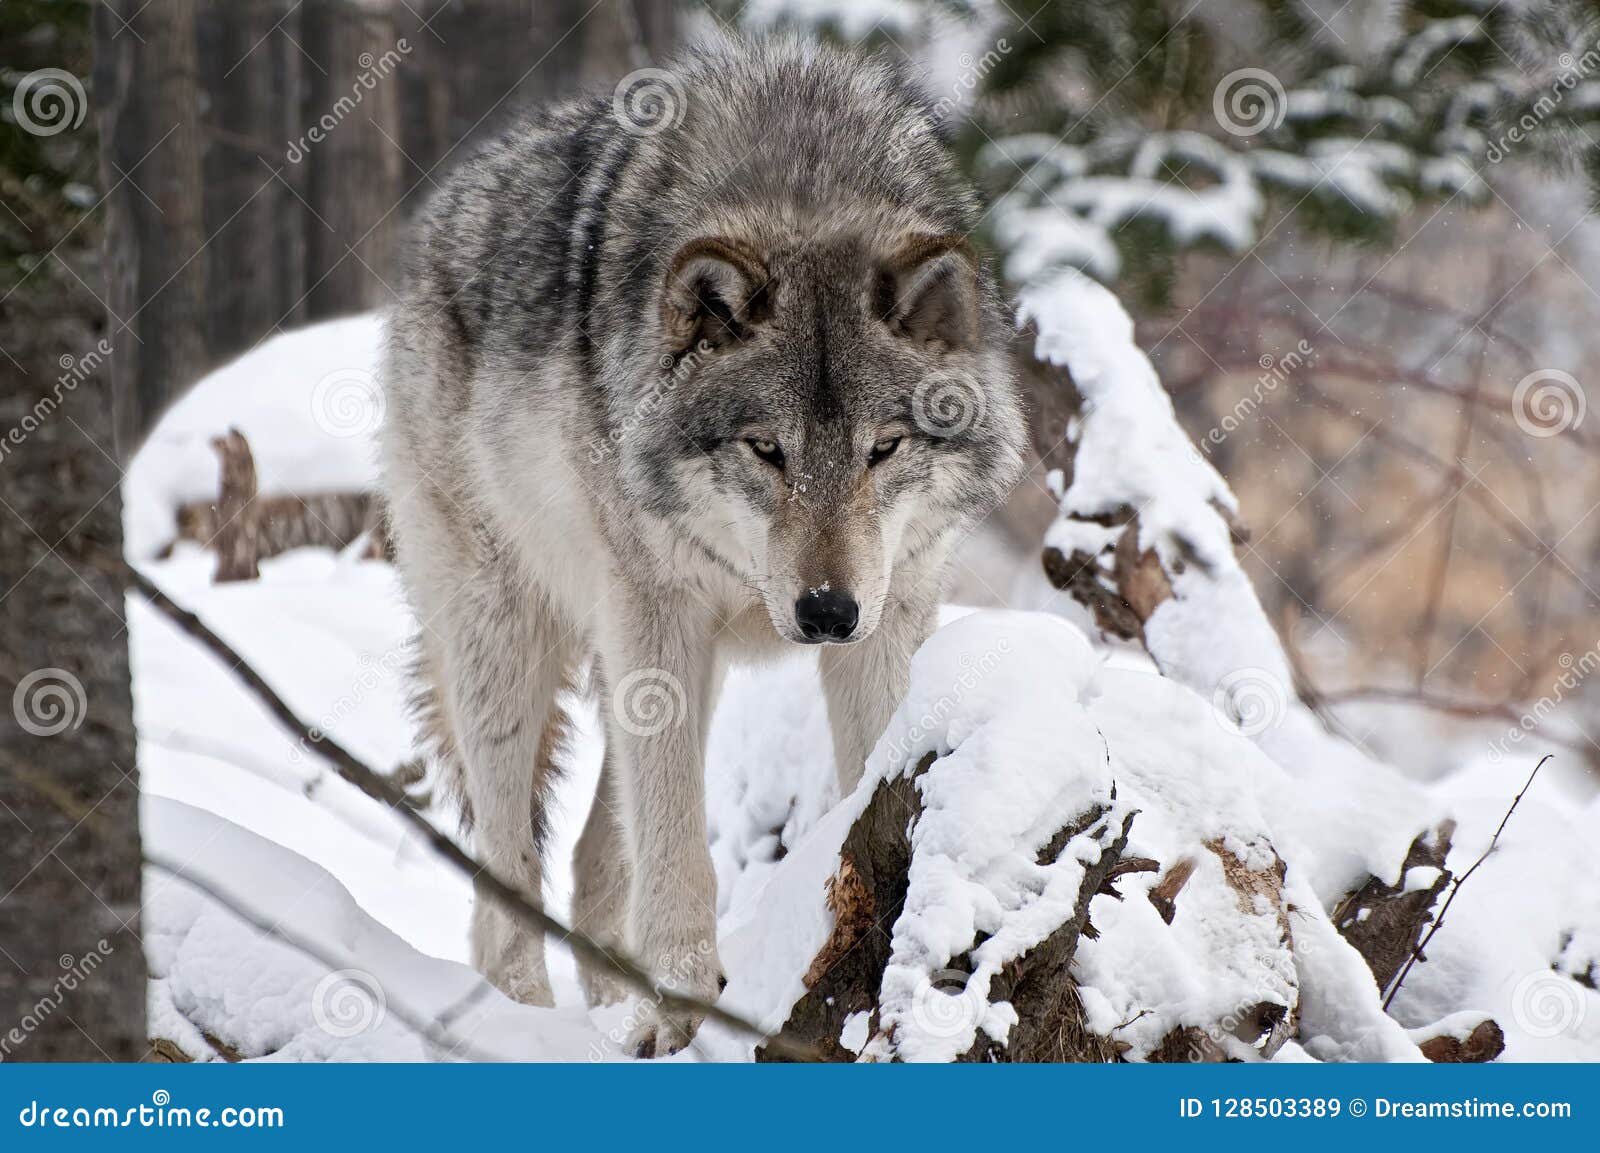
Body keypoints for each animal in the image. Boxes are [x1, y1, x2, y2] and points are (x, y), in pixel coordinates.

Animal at [380, 34, 1027, 1056]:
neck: (802, 191)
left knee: (593, 861)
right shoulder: (657, 618)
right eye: (767, 449)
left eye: (884, 448)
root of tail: (449, 208)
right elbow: (679, 852)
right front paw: (681, 1009)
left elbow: (872, 789)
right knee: (508, 869)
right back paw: (523, 1020)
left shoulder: (887, 624)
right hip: (512, 643)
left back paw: (609, 1006)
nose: (826, 610)